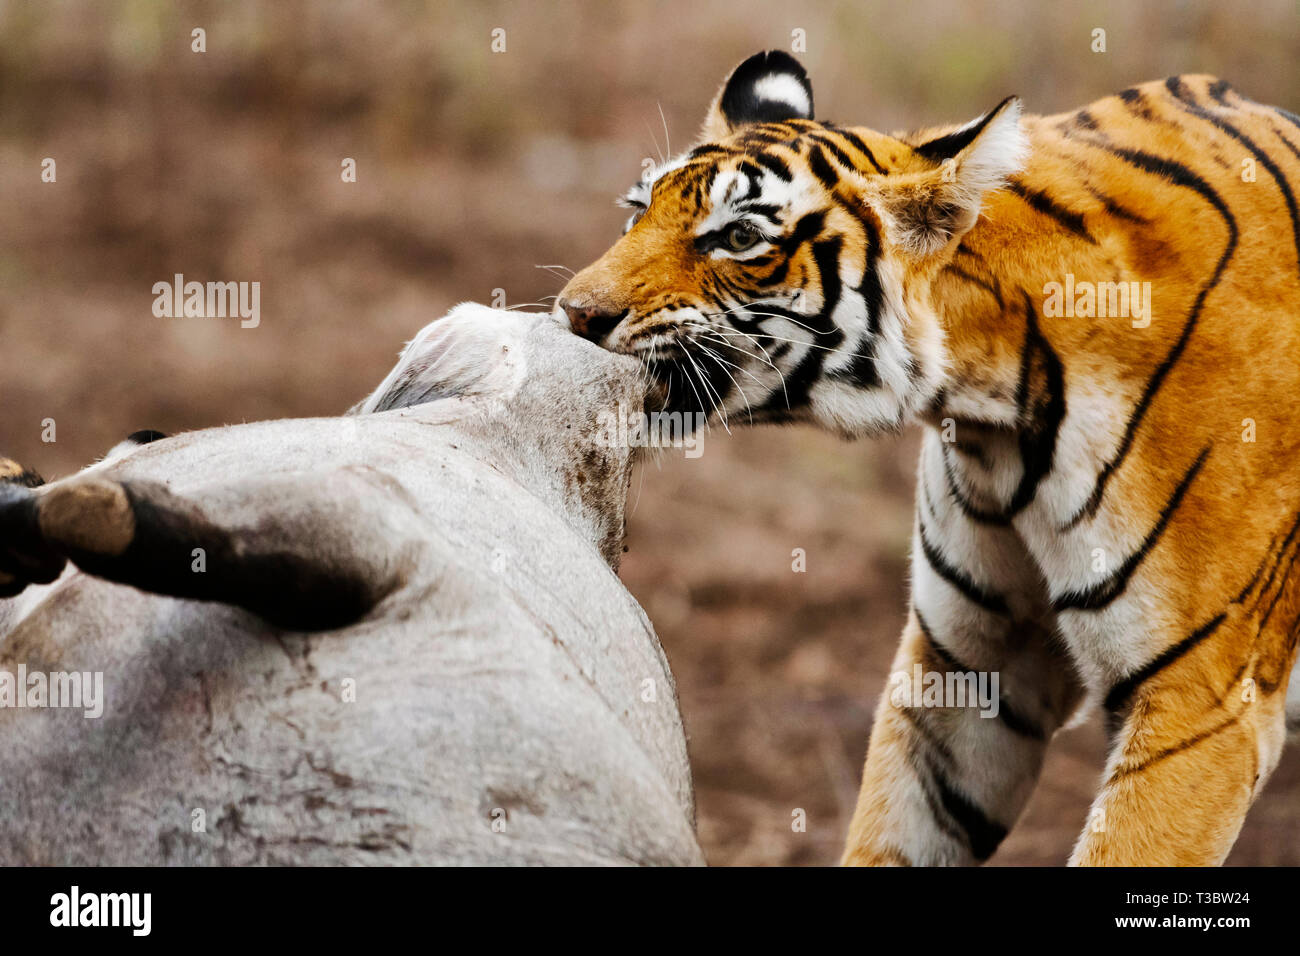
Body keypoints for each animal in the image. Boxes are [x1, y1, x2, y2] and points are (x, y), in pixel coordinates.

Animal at [557, 49, 1300, 865]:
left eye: (740, 237)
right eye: (637, 211)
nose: (574, 314)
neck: (998, 413)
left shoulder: (1201, 705)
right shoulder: (969, 664)